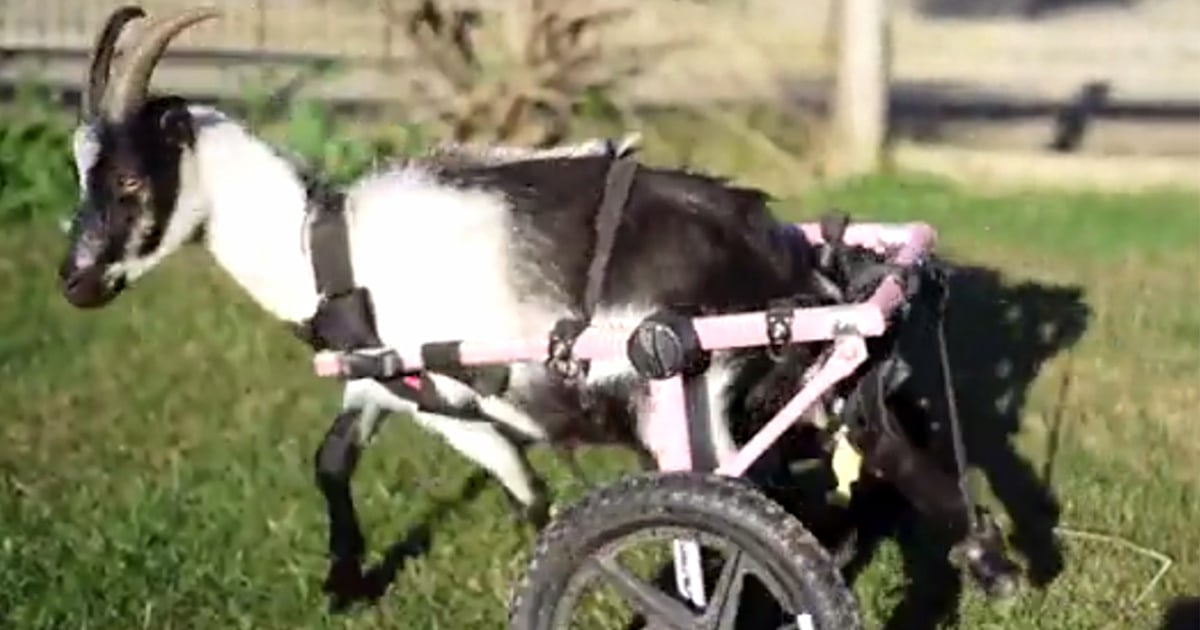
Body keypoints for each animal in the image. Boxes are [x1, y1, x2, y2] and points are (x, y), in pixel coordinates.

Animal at [58, 5, 1021, 610]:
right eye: (81, 173)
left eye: (131, 181)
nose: (75, 283)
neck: (316, 240)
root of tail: (781, 257)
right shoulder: (391, 375)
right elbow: (340, 459)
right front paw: (345, 580)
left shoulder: (457, 393)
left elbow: (518, 480)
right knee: (880, 440)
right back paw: (993, 562)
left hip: (680, 398)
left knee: (741, 506)